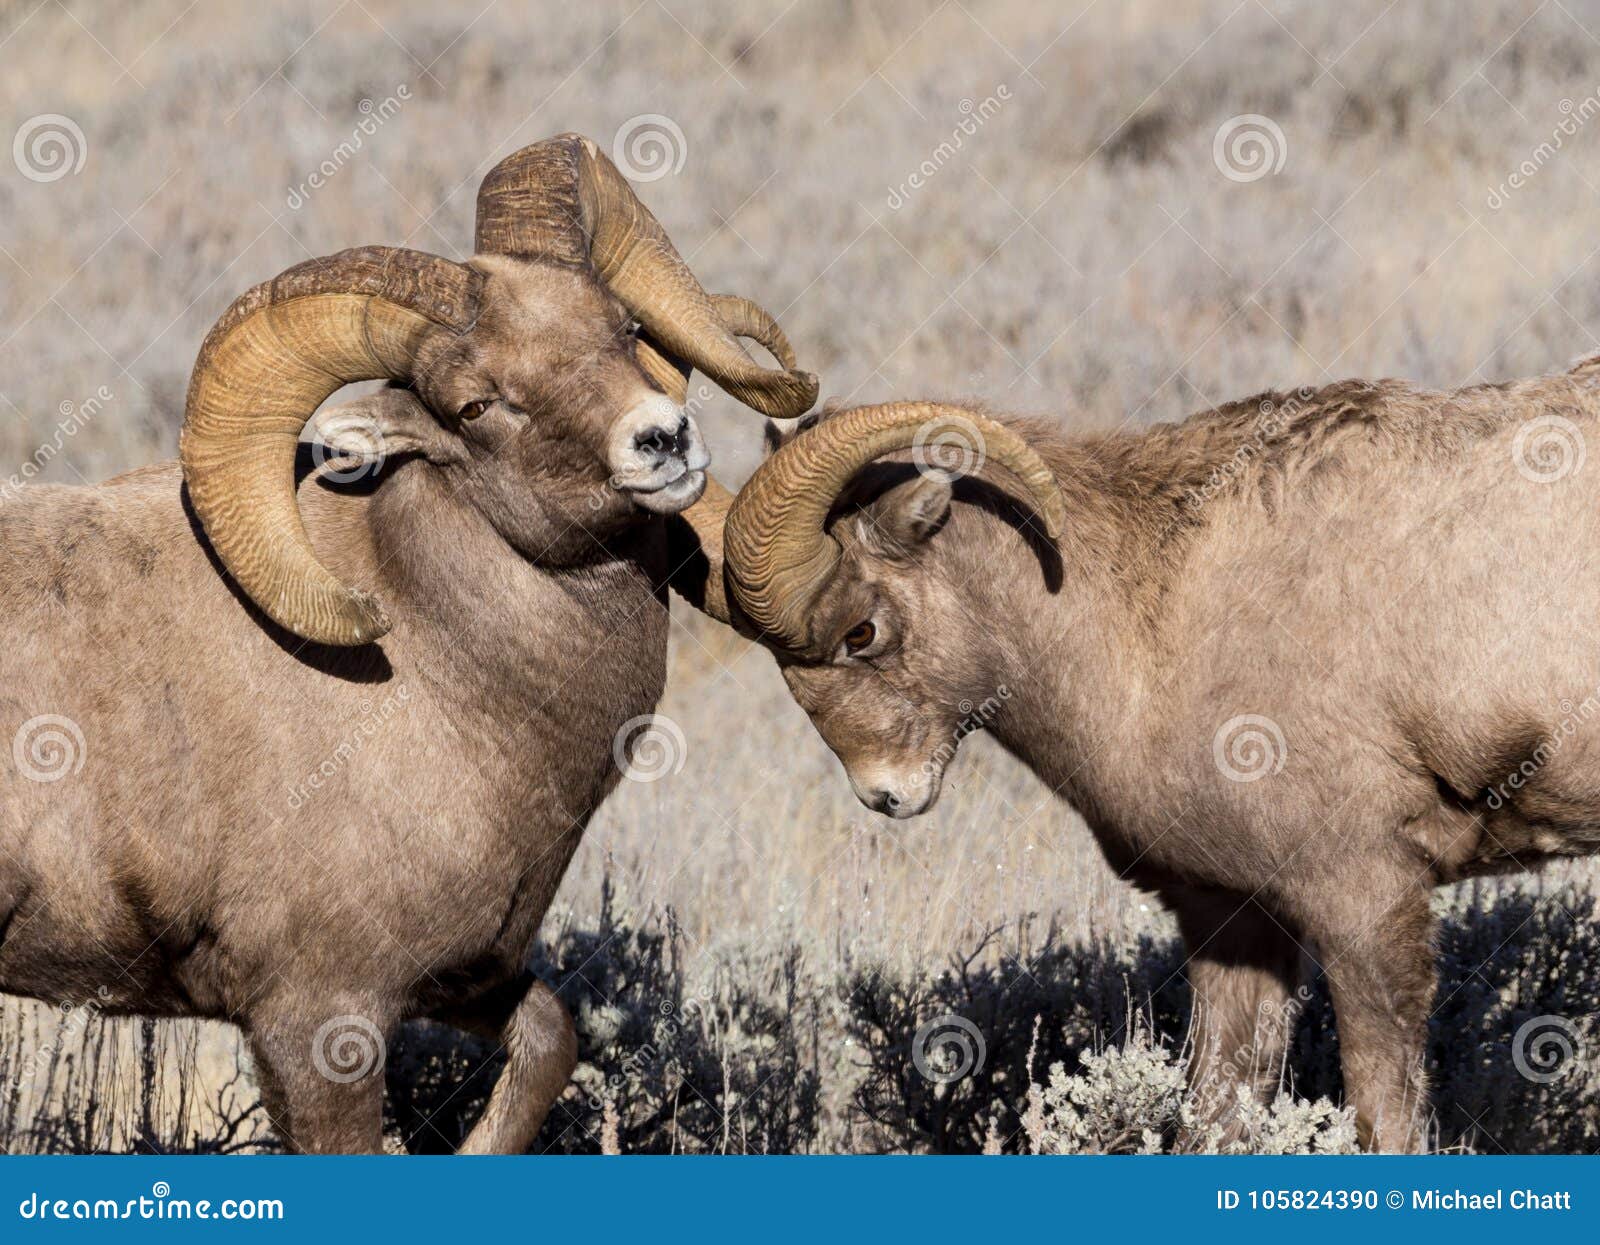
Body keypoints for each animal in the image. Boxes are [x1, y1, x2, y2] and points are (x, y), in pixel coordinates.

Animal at [0, 132, 816, 1153]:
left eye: (623, 328)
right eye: (475, 406)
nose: (663, 441)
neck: (443, 677)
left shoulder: (464, 976)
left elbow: (549, 1040)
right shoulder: (321, 1022)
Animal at [671, 370, 1600, 1152]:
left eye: (862, 630)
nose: (886, 794)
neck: (1147, 618)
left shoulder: (1367, 903)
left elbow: (1387, 1120)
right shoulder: (1233, 923)